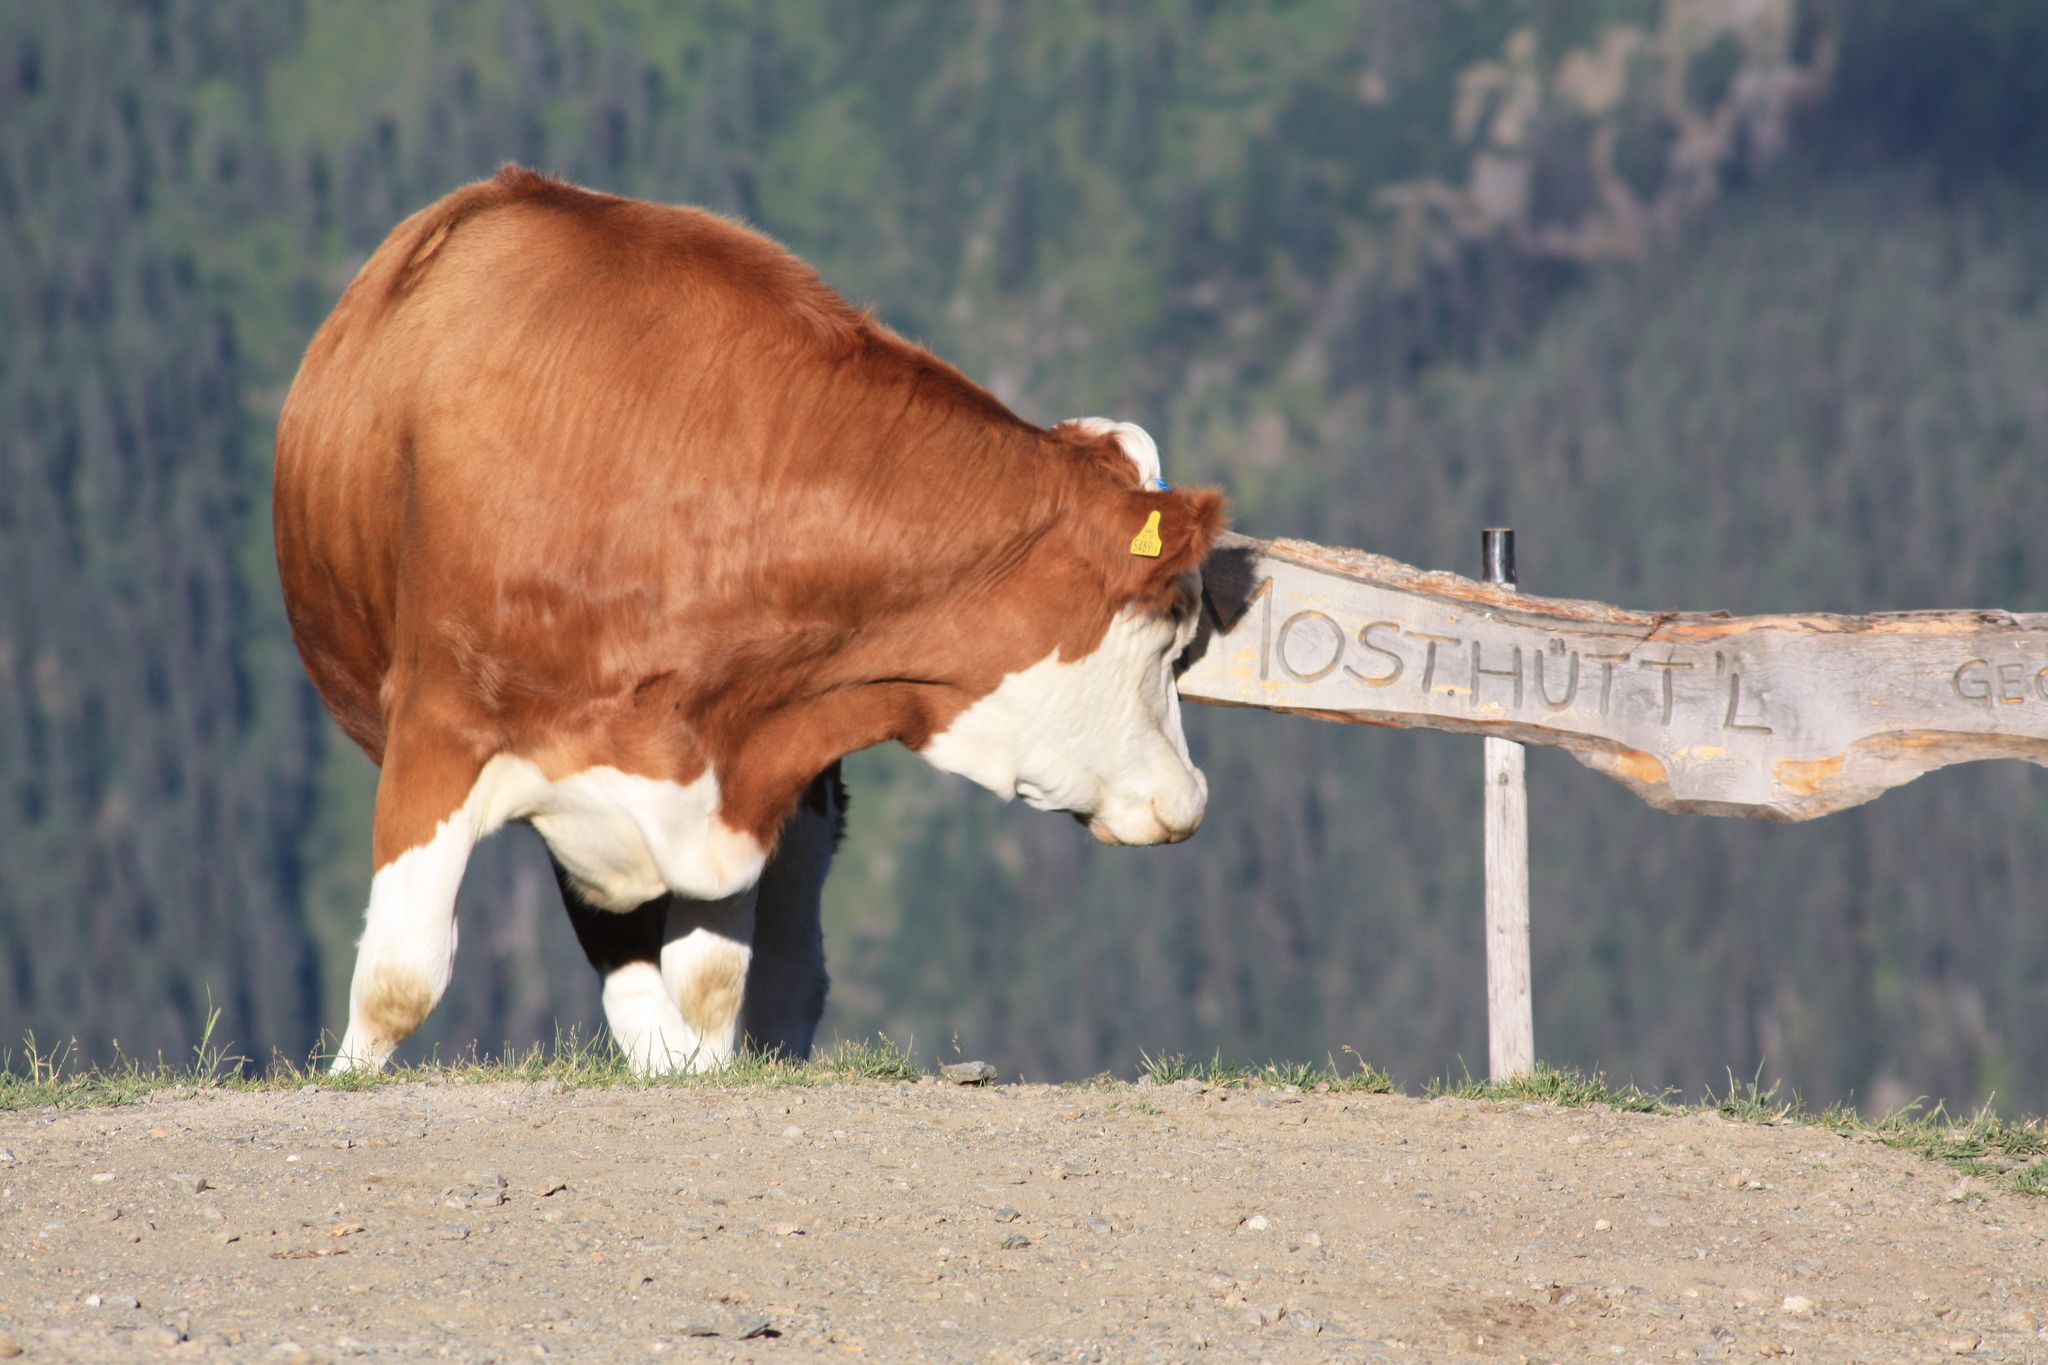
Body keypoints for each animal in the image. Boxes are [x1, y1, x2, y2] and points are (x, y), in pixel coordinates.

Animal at [274, 166, 1226, 1075]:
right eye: (1175, 629)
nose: (1193, 799)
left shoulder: (750, 755)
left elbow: (711, 979)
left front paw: (704, 1069)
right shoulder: (440, 728)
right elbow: (400, 974)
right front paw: (346, 1078)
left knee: (786, 963)